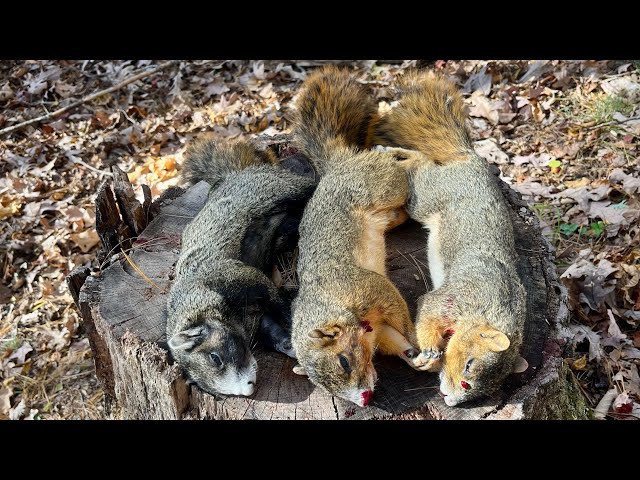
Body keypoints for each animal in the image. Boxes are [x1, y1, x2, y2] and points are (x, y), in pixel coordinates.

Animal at [166, 135, 316, 397]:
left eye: (215, 357)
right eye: (216, 393)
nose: (247, 389)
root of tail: (232, 174)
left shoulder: (242, 276)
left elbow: (278, 302)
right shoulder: (257, 318)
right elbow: (273, 332)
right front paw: (289, 345)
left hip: (278, 189)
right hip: (284, 229)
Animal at [290, 66, 430, 408]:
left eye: (343, 361)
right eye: (325, 388)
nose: (364, 399)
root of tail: (341, 165)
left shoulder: (371, 288)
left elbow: (399, 313)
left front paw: (417, 338)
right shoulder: (378, 330)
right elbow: (395, 341)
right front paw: (414, 357)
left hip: (386, 185)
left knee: (404, 166)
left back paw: (397, 153)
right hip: (389, 210)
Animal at [374, 71, 528, 406]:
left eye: (486, 392)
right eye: (469, 364)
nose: (451, 400)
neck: (491, 311)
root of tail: (471, 160)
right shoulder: (452, 299)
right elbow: (428, 314)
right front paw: (431, 352)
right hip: (428, 196)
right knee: (420, 167)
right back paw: (394, 156)